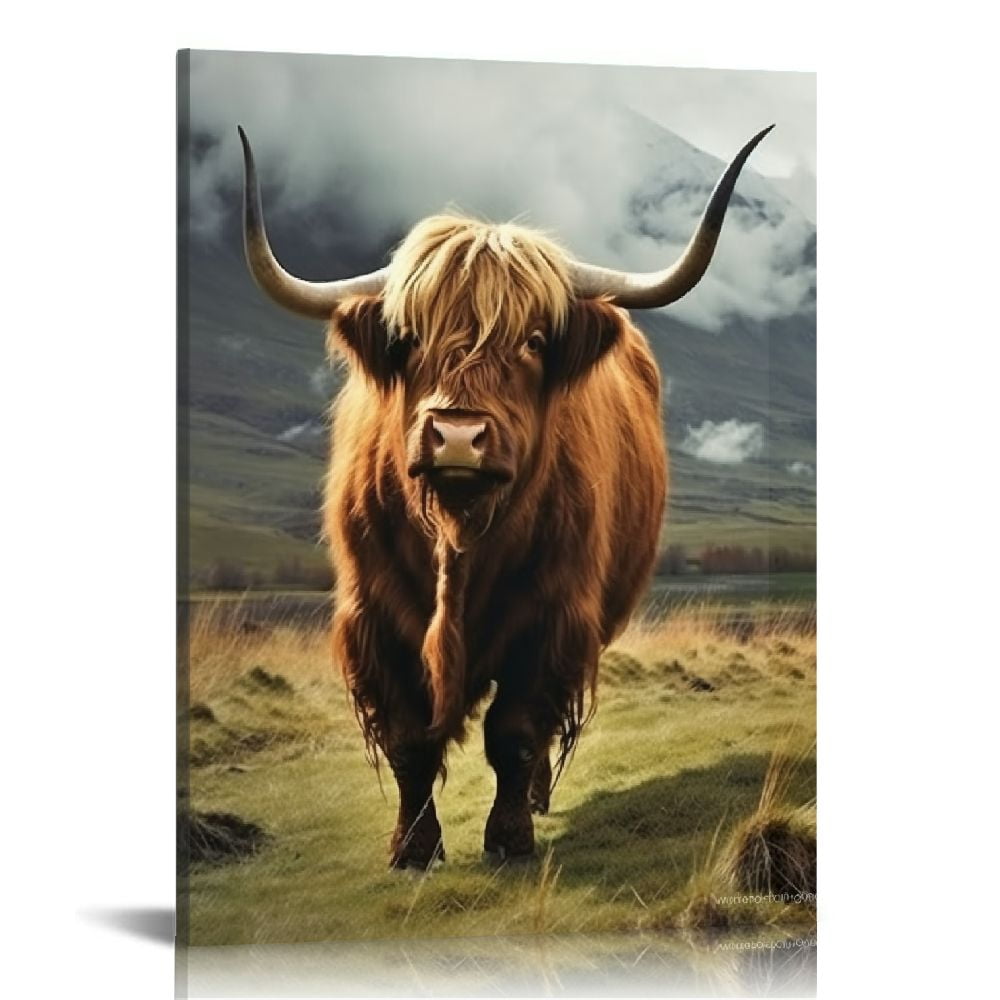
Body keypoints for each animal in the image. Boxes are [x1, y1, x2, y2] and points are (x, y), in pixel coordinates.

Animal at [237, 123, 772, 869]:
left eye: (535, 340)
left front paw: (510, 838)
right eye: (409, 338)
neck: (461, 539)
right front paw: (413, 849)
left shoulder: (551, 617)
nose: (458, 436)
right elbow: (409, 741)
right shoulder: (375, 619)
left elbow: (515, 732)